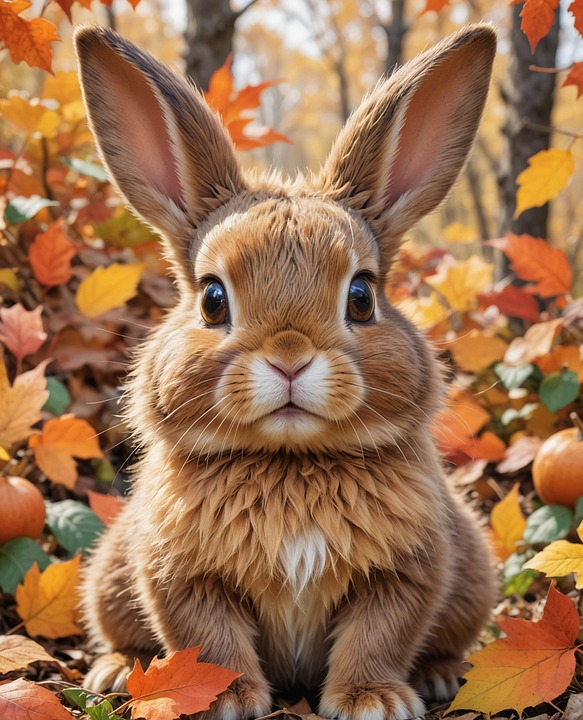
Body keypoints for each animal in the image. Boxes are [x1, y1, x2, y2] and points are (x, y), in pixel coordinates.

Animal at [75, 23, 497, 720]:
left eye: (362, 296)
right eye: (212, 299)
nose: (291, 357)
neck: (291, 462)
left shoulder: (408, 572)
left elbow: (380, 635)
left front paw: (373, 700)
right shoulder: (179, 577)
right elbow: (206, 639)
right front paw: (224, 699)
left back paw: (439, 677)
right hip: (111, 575)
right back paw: (114, 671)